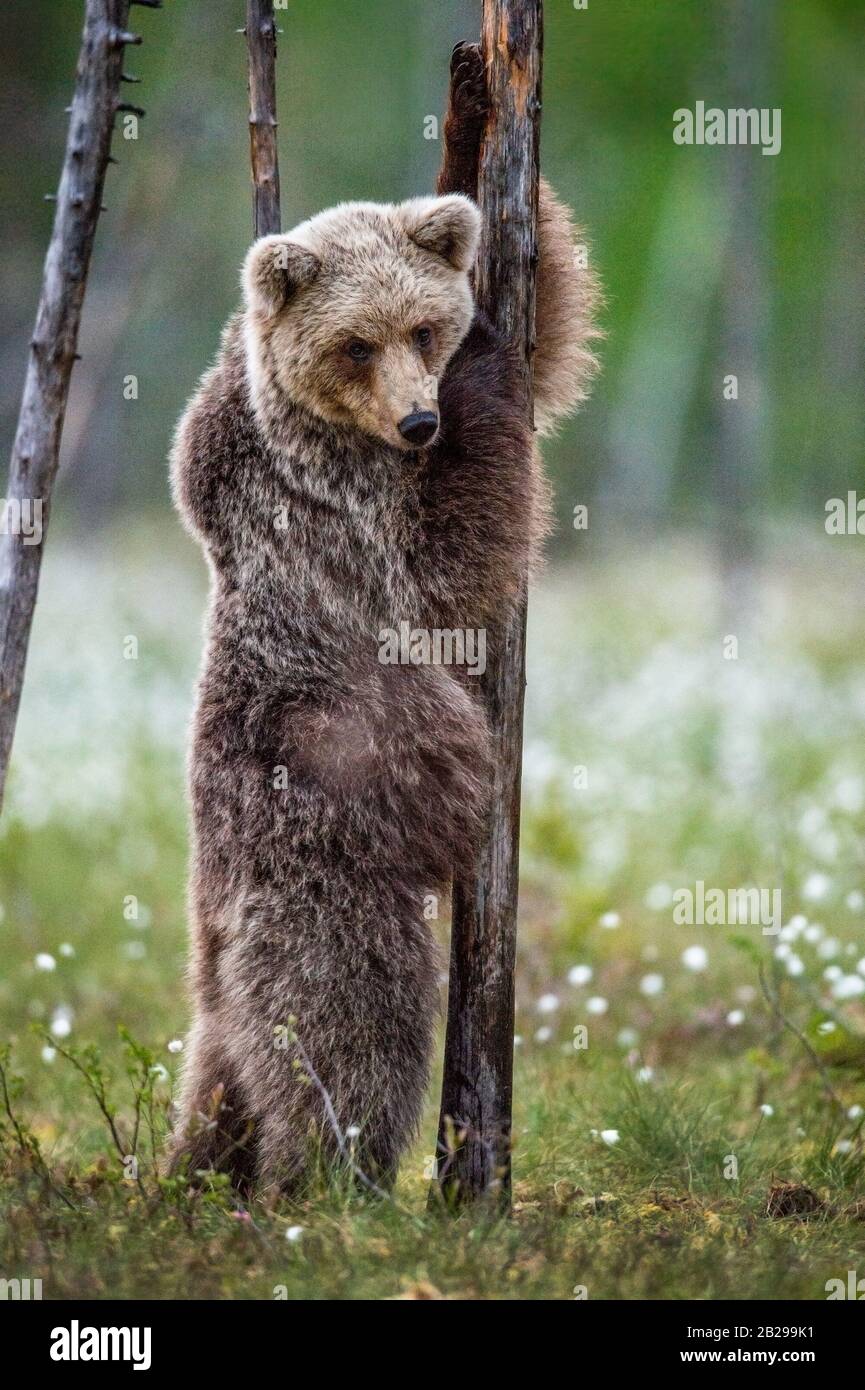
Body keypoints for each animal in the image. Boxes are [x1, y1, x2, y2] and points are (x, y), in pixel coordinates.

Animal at [167, 44, 600, 1194]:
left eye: (418, 326)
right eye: (356, 344)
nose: (418, 417)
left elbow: (544, 326)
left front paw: (469, 132)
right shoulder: (340, 508)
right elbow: (452, 557)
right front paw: (489, 355)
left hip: (226, 976)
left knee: (221, 1075)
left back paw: (199, 1175)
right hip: (327, 870)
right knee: (353, 1023)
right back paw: (333, 1180)